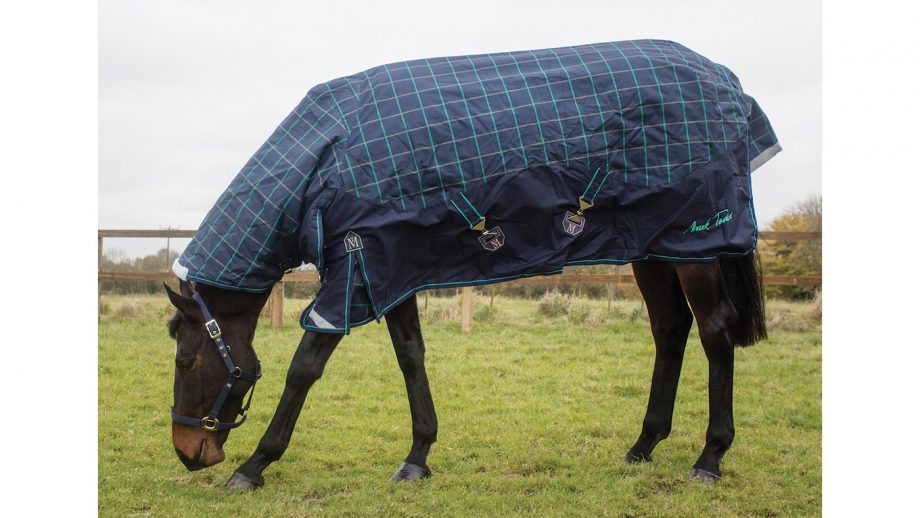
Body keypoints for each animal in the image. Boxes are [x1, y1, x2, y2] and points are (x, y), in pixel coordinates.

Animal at [164, 39, 778, 489]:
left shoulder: (353, 275)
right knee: (670, 329)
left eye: (186, 360)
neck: (327, 156)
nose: (190, 452)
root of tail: (725, 79)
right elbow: (411, 357)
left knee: (715, 332)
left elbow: (304, 368)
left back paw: (709, 458)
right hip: (654, 247)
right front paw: (417, 457)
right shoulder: (388, 268)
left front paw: (254, 466)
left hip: (697, 245)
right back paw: (643, 445)